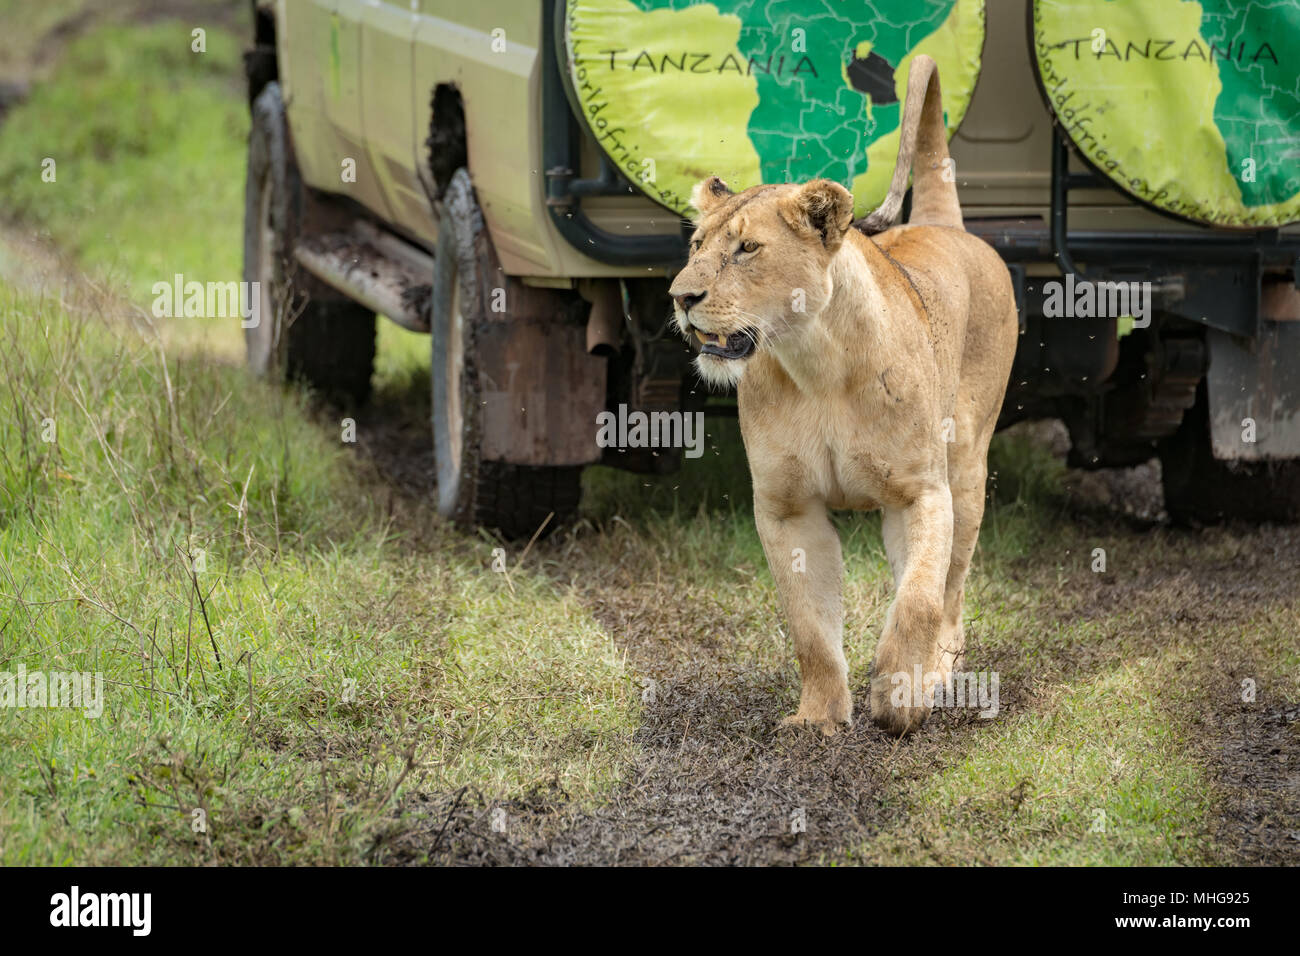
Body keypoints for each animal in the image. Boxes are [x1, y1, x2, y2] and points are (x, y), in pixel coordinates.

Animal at [667, 55, 1019, 736]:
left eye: (746, 249)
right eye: (697, 247)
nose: (680, 296)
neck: (816, 366)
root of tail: (942, 225)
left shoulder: (921, 492)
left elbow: (917, 601)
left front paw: (901, 697)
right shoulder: (786, 509)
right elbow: (808, 627)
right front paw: (819, 718)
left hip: (967, 467)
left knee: (952, 589)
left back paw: (941, 668)